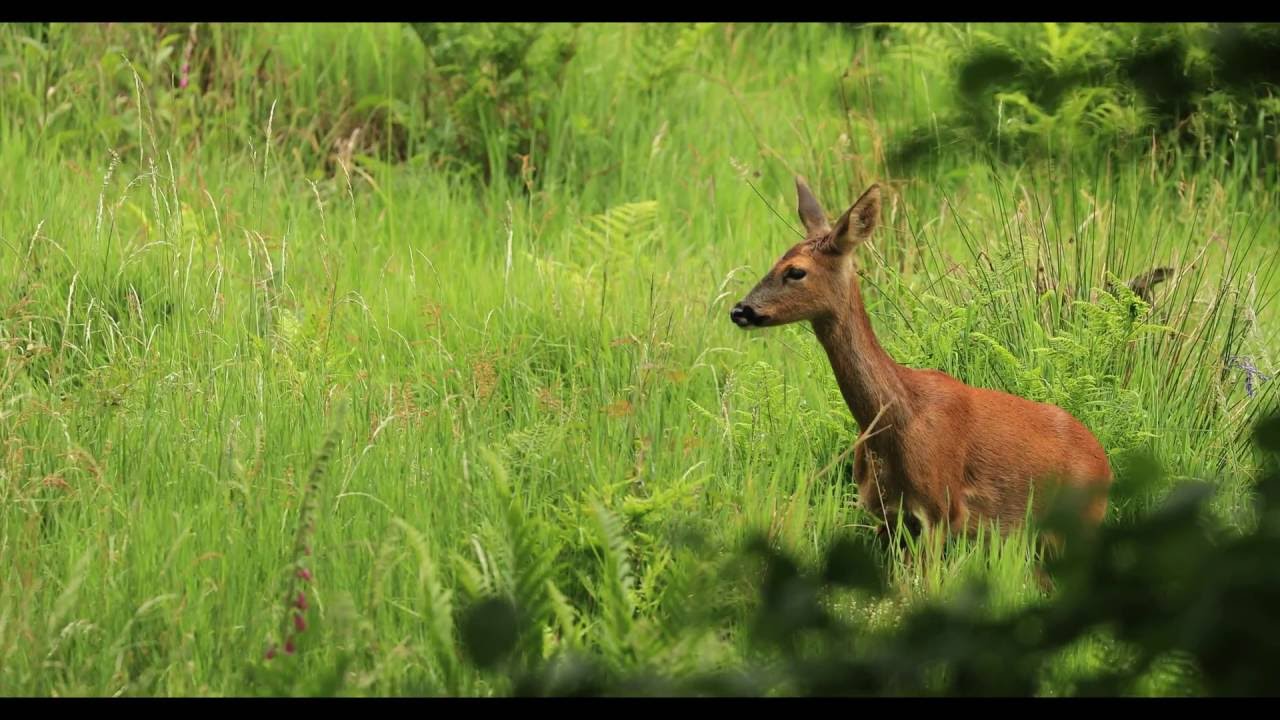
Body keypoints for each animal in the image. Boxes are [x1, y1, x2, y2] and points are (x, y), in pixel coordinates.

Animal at [729, 178, 1113, 560]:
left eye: (795, 271)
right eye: (776, 260)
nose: (740, 310)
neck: (894, 420)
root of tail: (1106, 465)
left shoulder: (941, 509)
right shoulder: (884, 513)